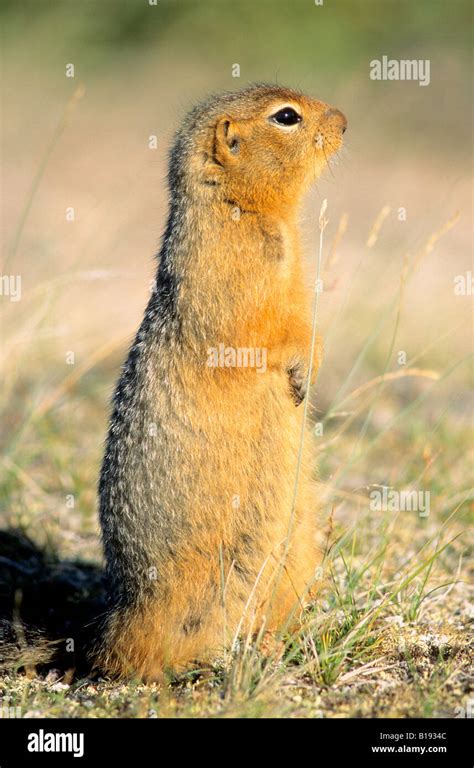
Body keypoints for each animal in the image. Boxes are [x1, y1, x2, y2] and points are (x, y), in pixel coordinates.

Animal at [97, 84, 346, 679]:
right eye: (286, 117)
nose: (345, 120)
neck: (247, 210)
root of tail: (117, 617)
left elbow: (305, 322)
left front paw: (310, 372)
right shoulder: (232, 269)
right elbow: (257, 329)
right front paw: (298, 369)